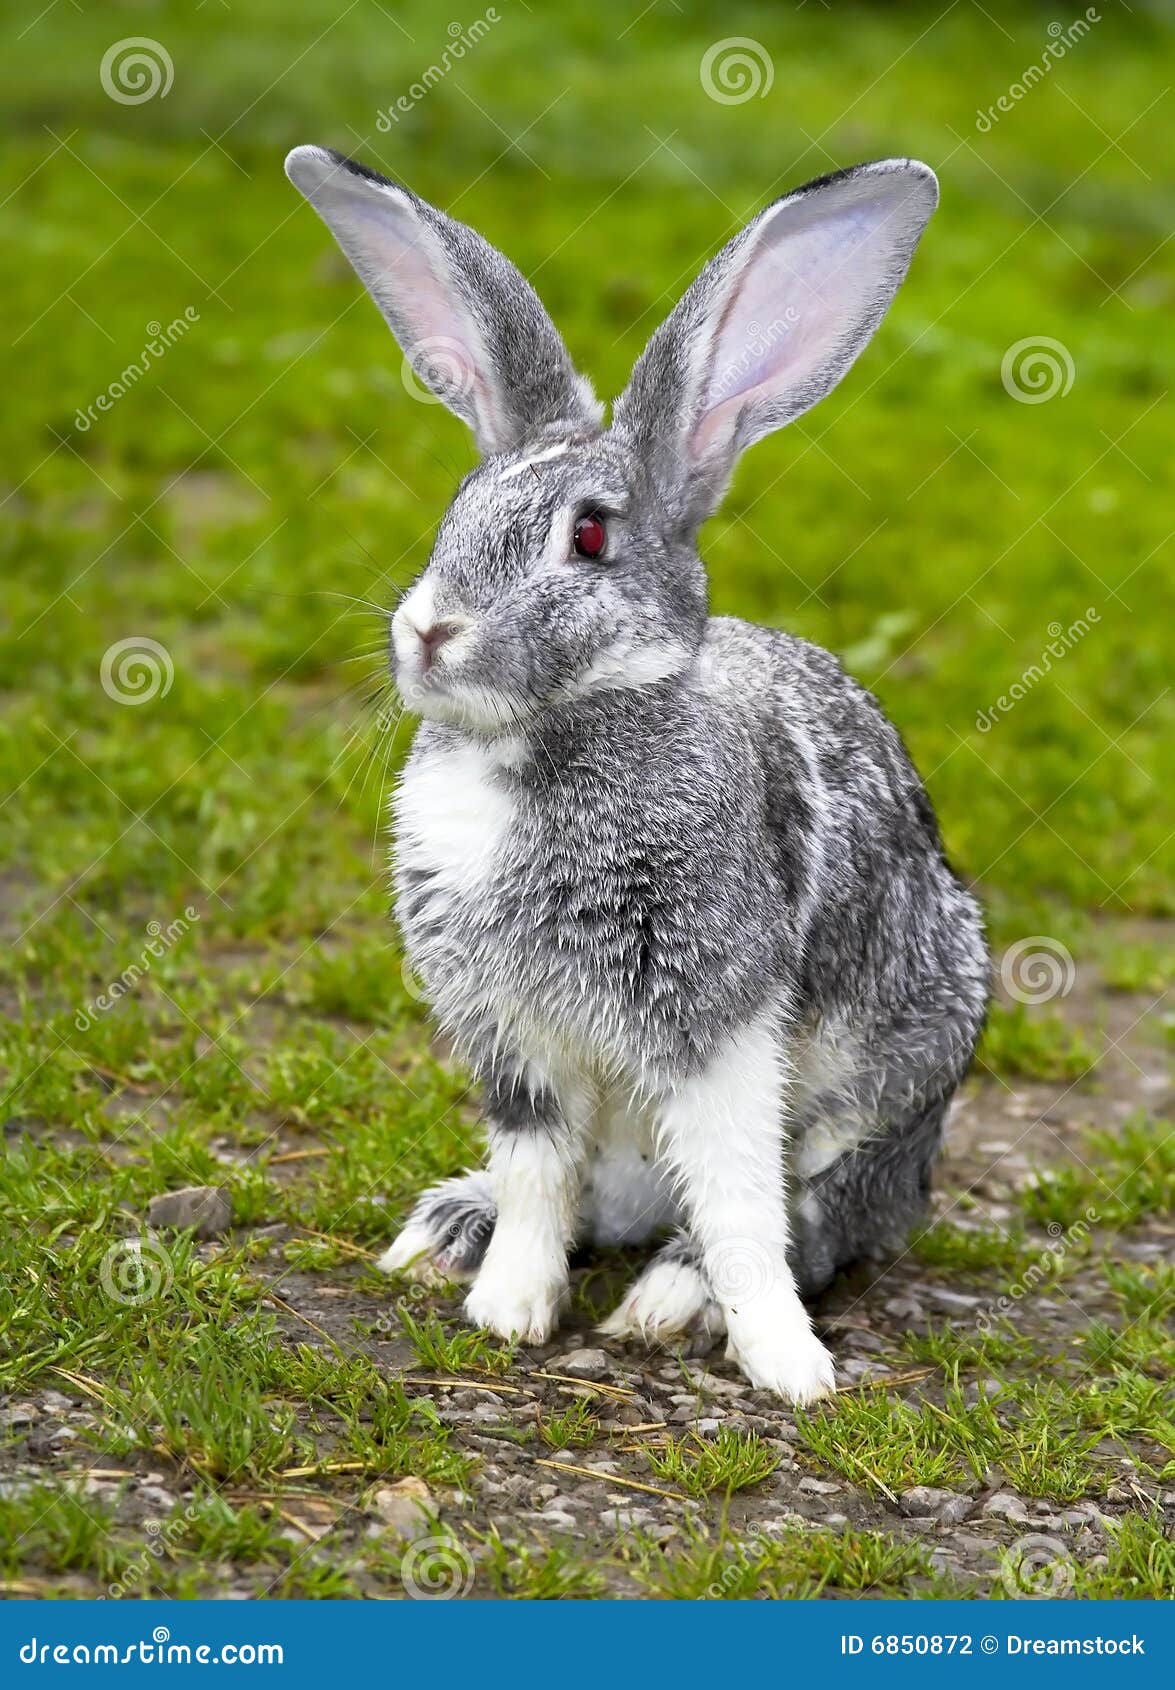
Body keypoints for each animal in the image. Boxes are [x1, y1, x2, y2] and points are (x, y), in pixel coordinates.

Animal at [285, 145, 989, 1403]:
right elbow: (536, 1172)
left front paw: (786, 1366)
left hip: (882, 1093)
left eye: (590, 538)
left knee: (812, 1213)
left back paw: (675, 1295)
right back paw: (449, 1227)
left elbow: (742, 1203)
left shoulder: (714, 1021)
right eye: (456, 512)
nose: (428, 631)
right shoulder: (510, 1038)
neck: (531, 743)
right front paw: (505, 1308)